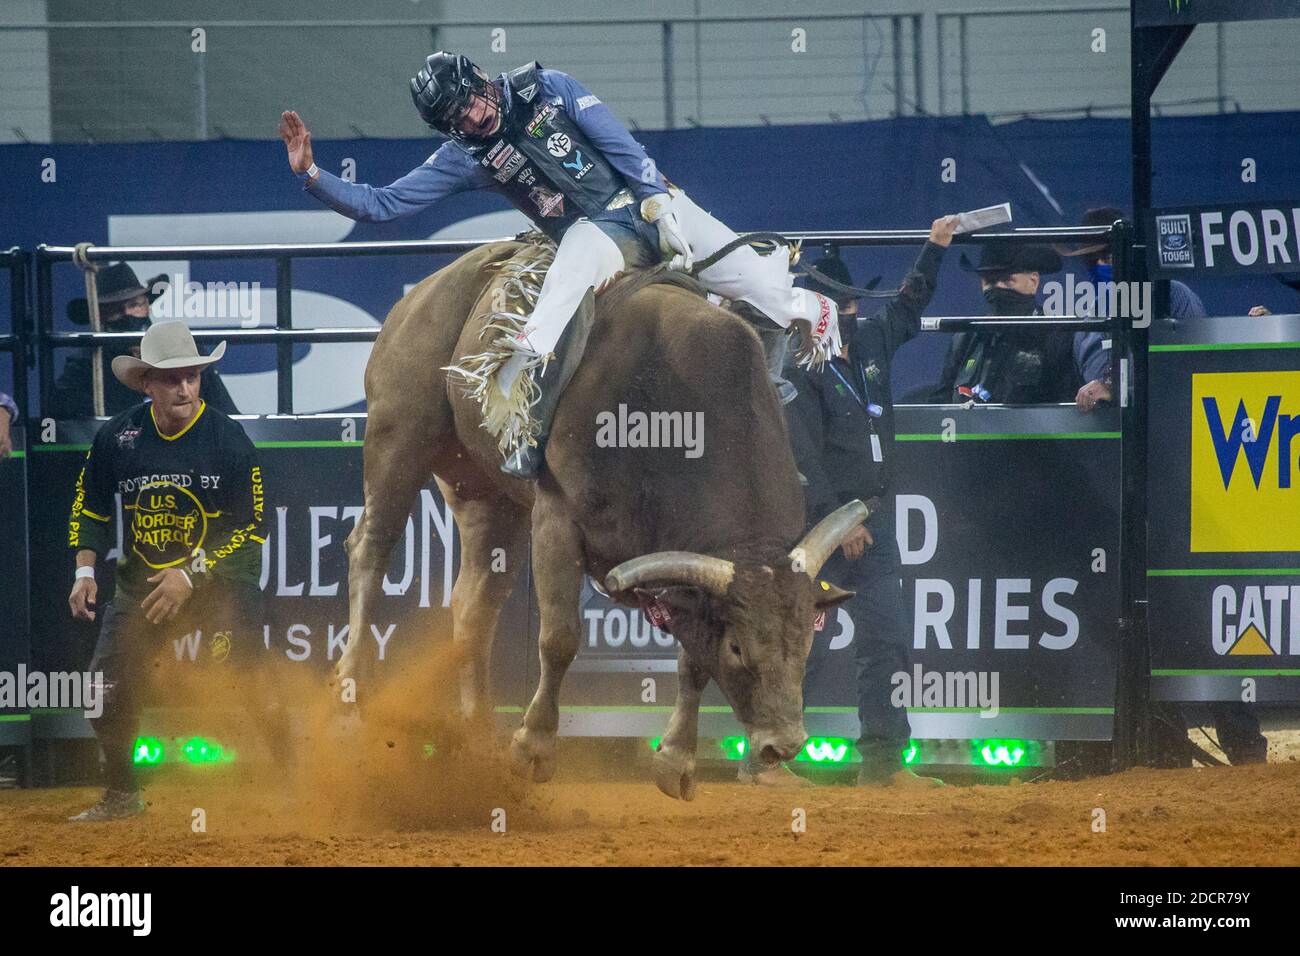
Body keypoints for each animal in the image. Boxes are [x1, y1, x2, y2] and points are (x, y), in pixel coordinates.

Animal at [337, 236, 867, 799]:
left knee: (474, 606)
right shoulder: (557, 518)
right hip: (398, 437)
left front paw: (676, 759)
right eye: (739, 647)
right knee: (370, 549)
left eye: (807, 639)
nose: (782, 744)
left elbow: (692, 661)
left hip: (486, 498)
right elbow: (560, 638)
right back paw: (351, 704)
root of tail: (424, 292)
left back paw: (479, 734)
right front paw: (533, 747)